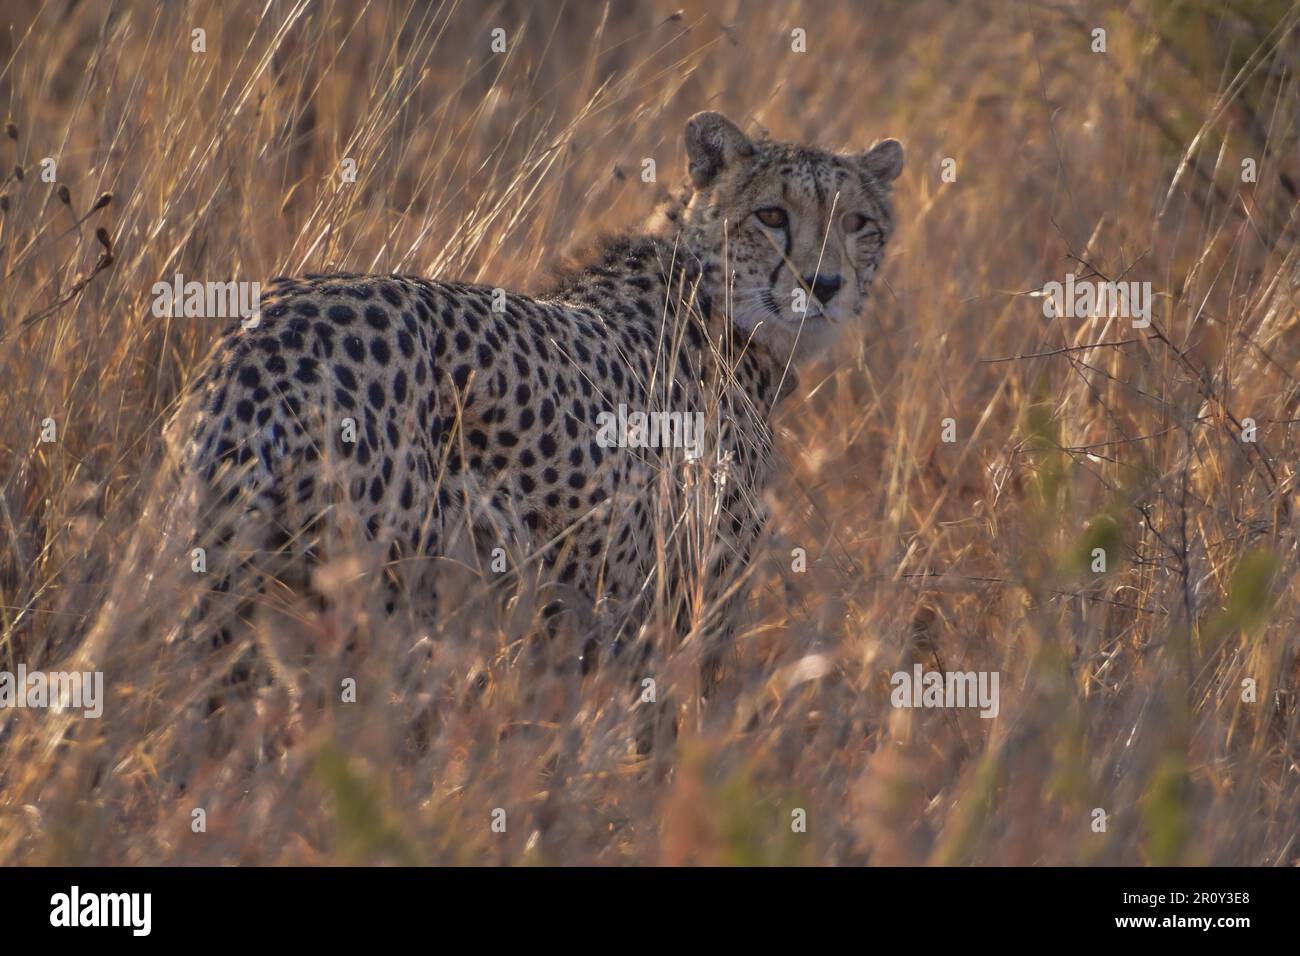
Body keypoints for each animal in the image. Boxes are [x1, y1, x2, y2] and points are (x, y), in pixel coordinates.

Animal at [163, 110, 904, 696]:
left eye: (858, 223)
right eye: (772, 216)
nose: (825, 285)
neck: (710, 295)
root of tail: (266, 336)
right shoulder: (675, 617)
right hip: (378, 598)